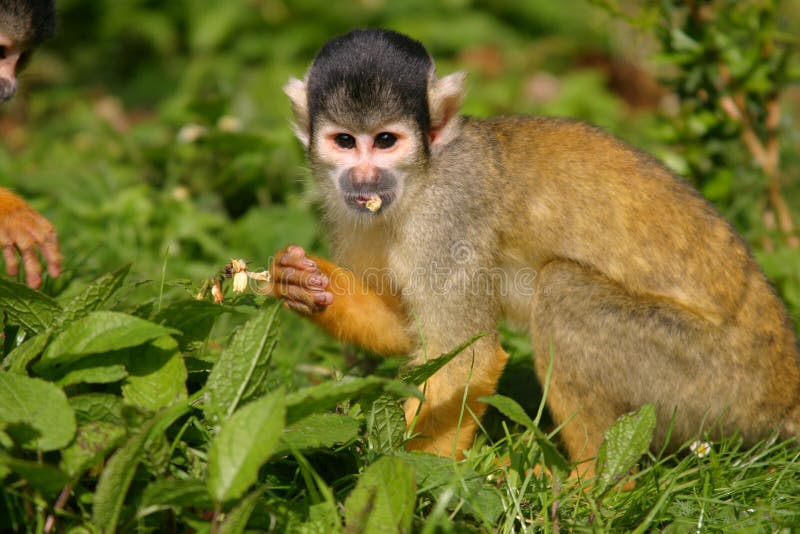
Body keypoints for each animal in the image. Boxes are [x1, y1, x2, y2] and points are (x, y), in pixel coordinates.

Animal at [268, 28, 800, 479]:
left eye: (385, 141)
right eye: (344, 141)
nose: (364, 179)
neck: (419, 181)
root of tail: (782, 395)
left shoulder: (449, 214)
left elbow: (466, 356)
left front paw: (419, 477)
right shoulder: (348, 214)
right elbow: (409, 334)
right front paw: (306, 282)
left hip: (710, 386)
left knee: (564, 290)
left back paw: (591, 486)